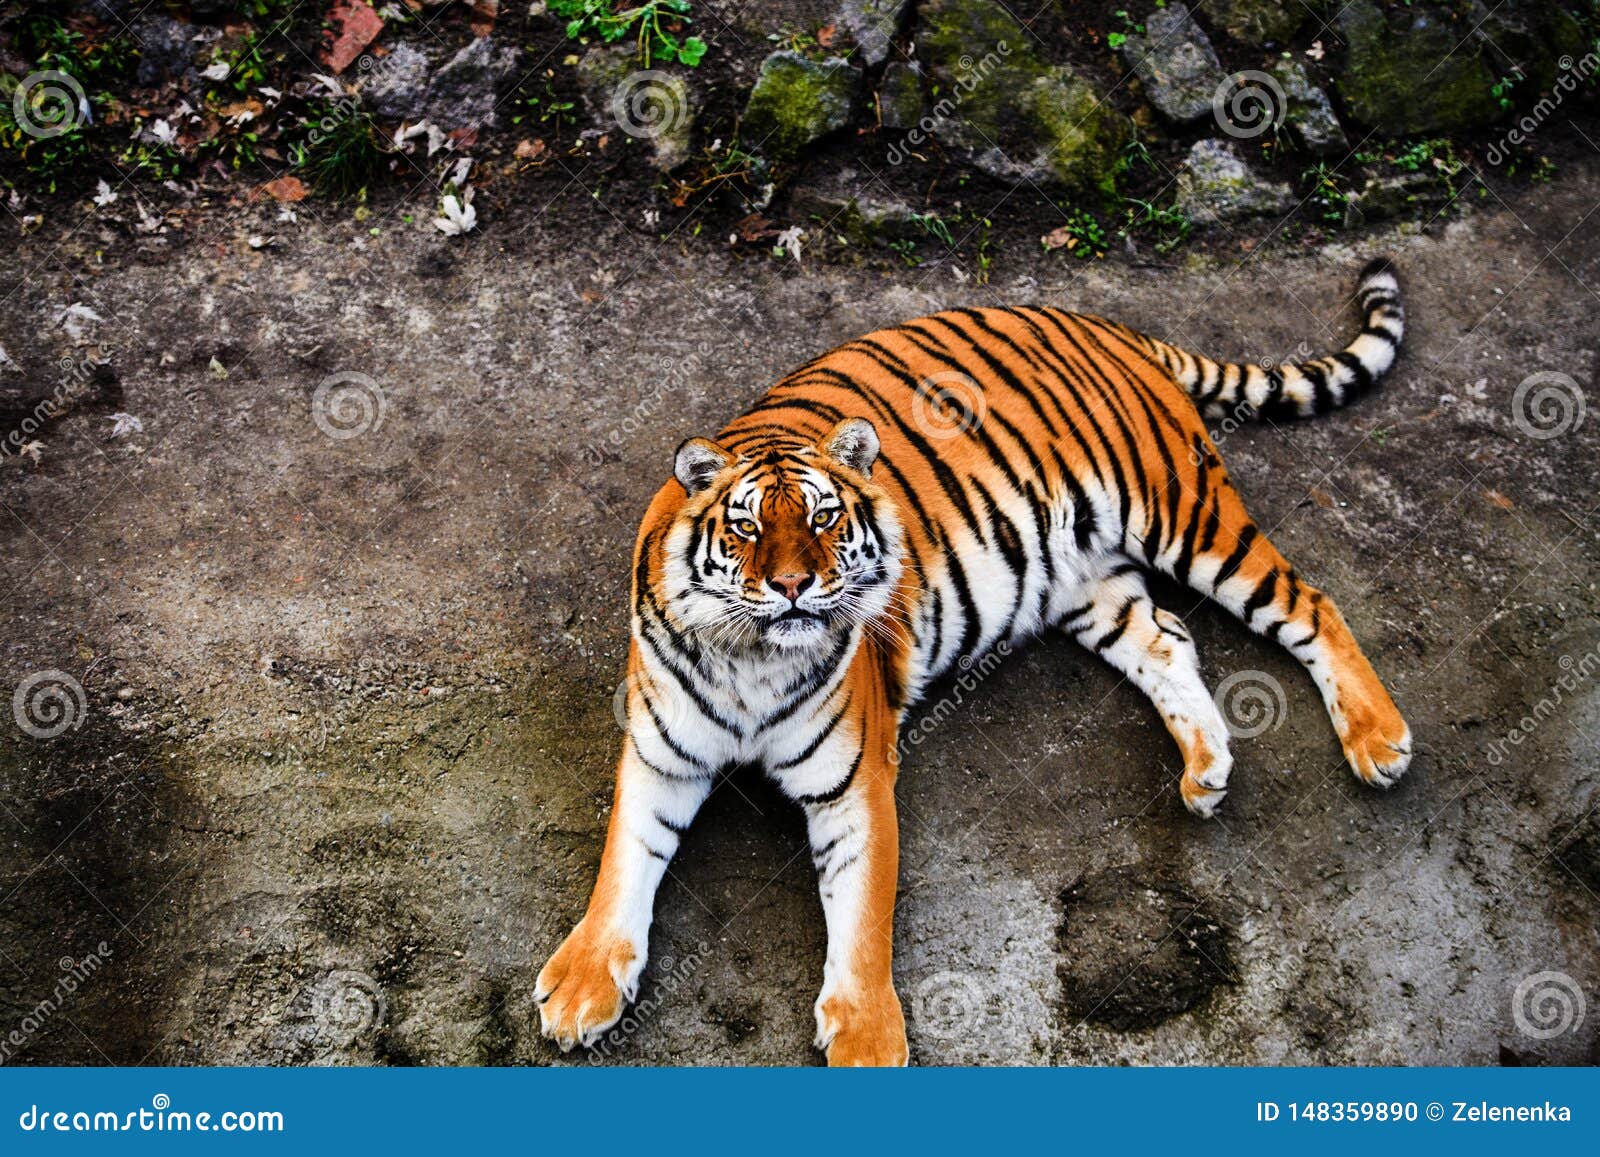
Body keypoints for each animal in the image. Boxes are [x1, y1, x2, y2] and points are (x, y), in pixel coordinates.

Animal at [535, 258, 1412, 1066]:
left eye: (823, 516)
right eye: (748, 527)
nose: (792, 586)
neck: (752, 659)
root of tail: (1109, 326)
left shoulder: (857, 780)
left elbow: (862, 917)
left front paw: (866, 1041)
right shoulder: (660, 755)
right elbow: (623, 860)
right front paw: (581, 985)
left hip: (1186, 514)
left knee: (1311, 603)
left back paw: (1378, 740)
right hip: (1085, 578)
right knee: (1167, 637)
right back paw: (1206, 771)